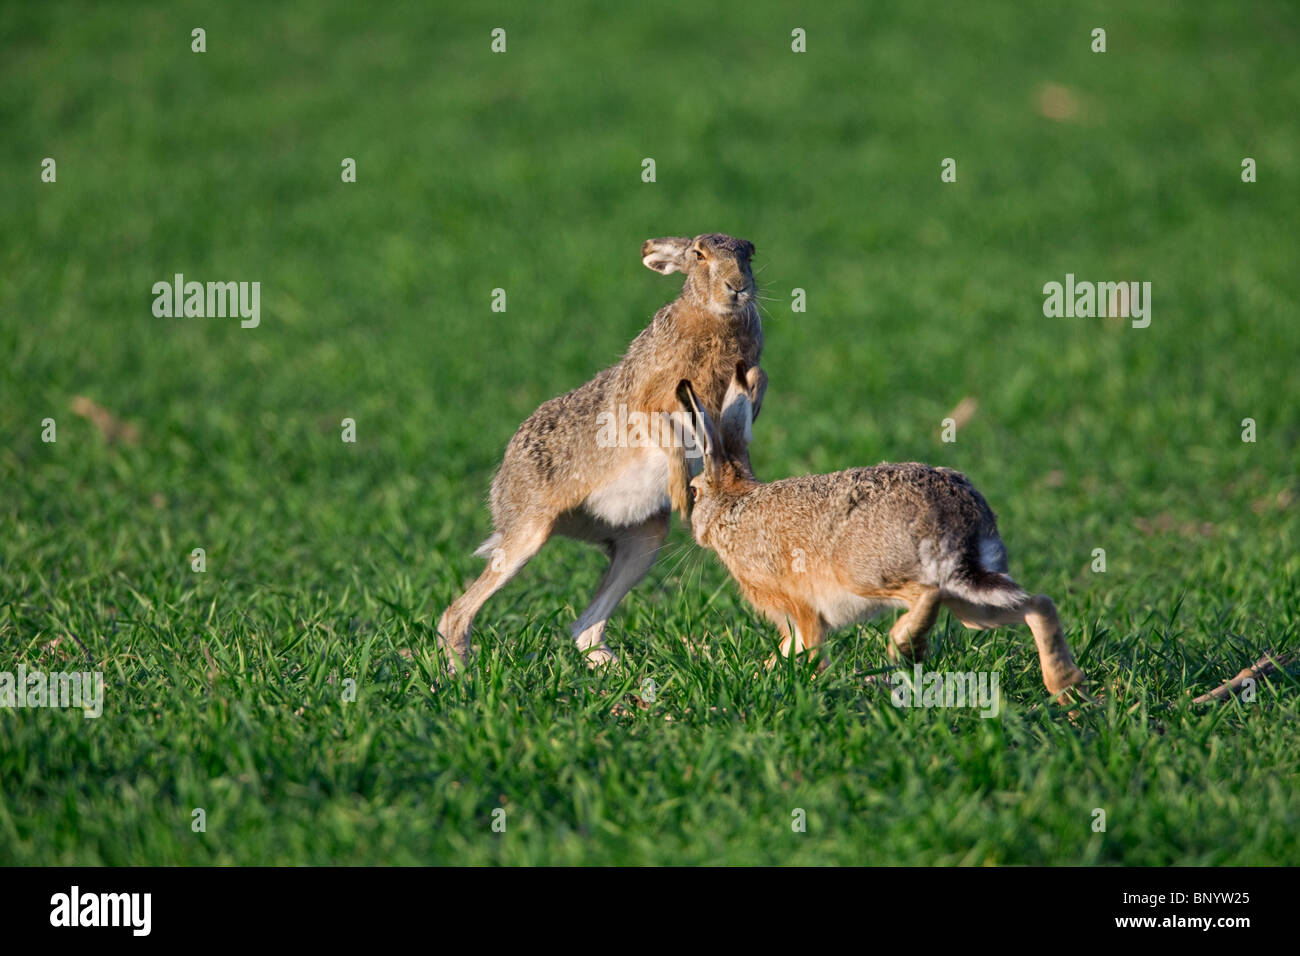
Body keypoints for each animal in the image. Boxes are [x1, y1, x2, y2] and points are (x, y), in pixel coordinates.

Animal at [436, 234, 765, 672]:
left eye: (749, 253)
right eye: (699, 254)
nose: (737, 287)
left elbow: (753, 382)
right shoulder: (645, 403)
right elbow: (667, 431)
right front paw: (681, 491)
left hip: (644, 541)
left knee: (585, 627)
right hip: (529, 530)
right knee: (457, 613)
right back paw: (462, 675)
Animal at [675, 366, 1086, 700]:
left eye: (693, 492)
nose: (692, 528)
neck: (730, 510)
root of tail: (962, 519)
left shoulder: (798, 605)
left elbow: (808, 646)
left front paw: (808, 683)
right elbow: (788, 649)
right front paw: (766, 675)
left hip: (863, 573)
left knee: (927, 593)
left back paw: (903, 646)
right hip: (972, 594)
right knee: (1037, 604)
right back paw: (1066, 690)